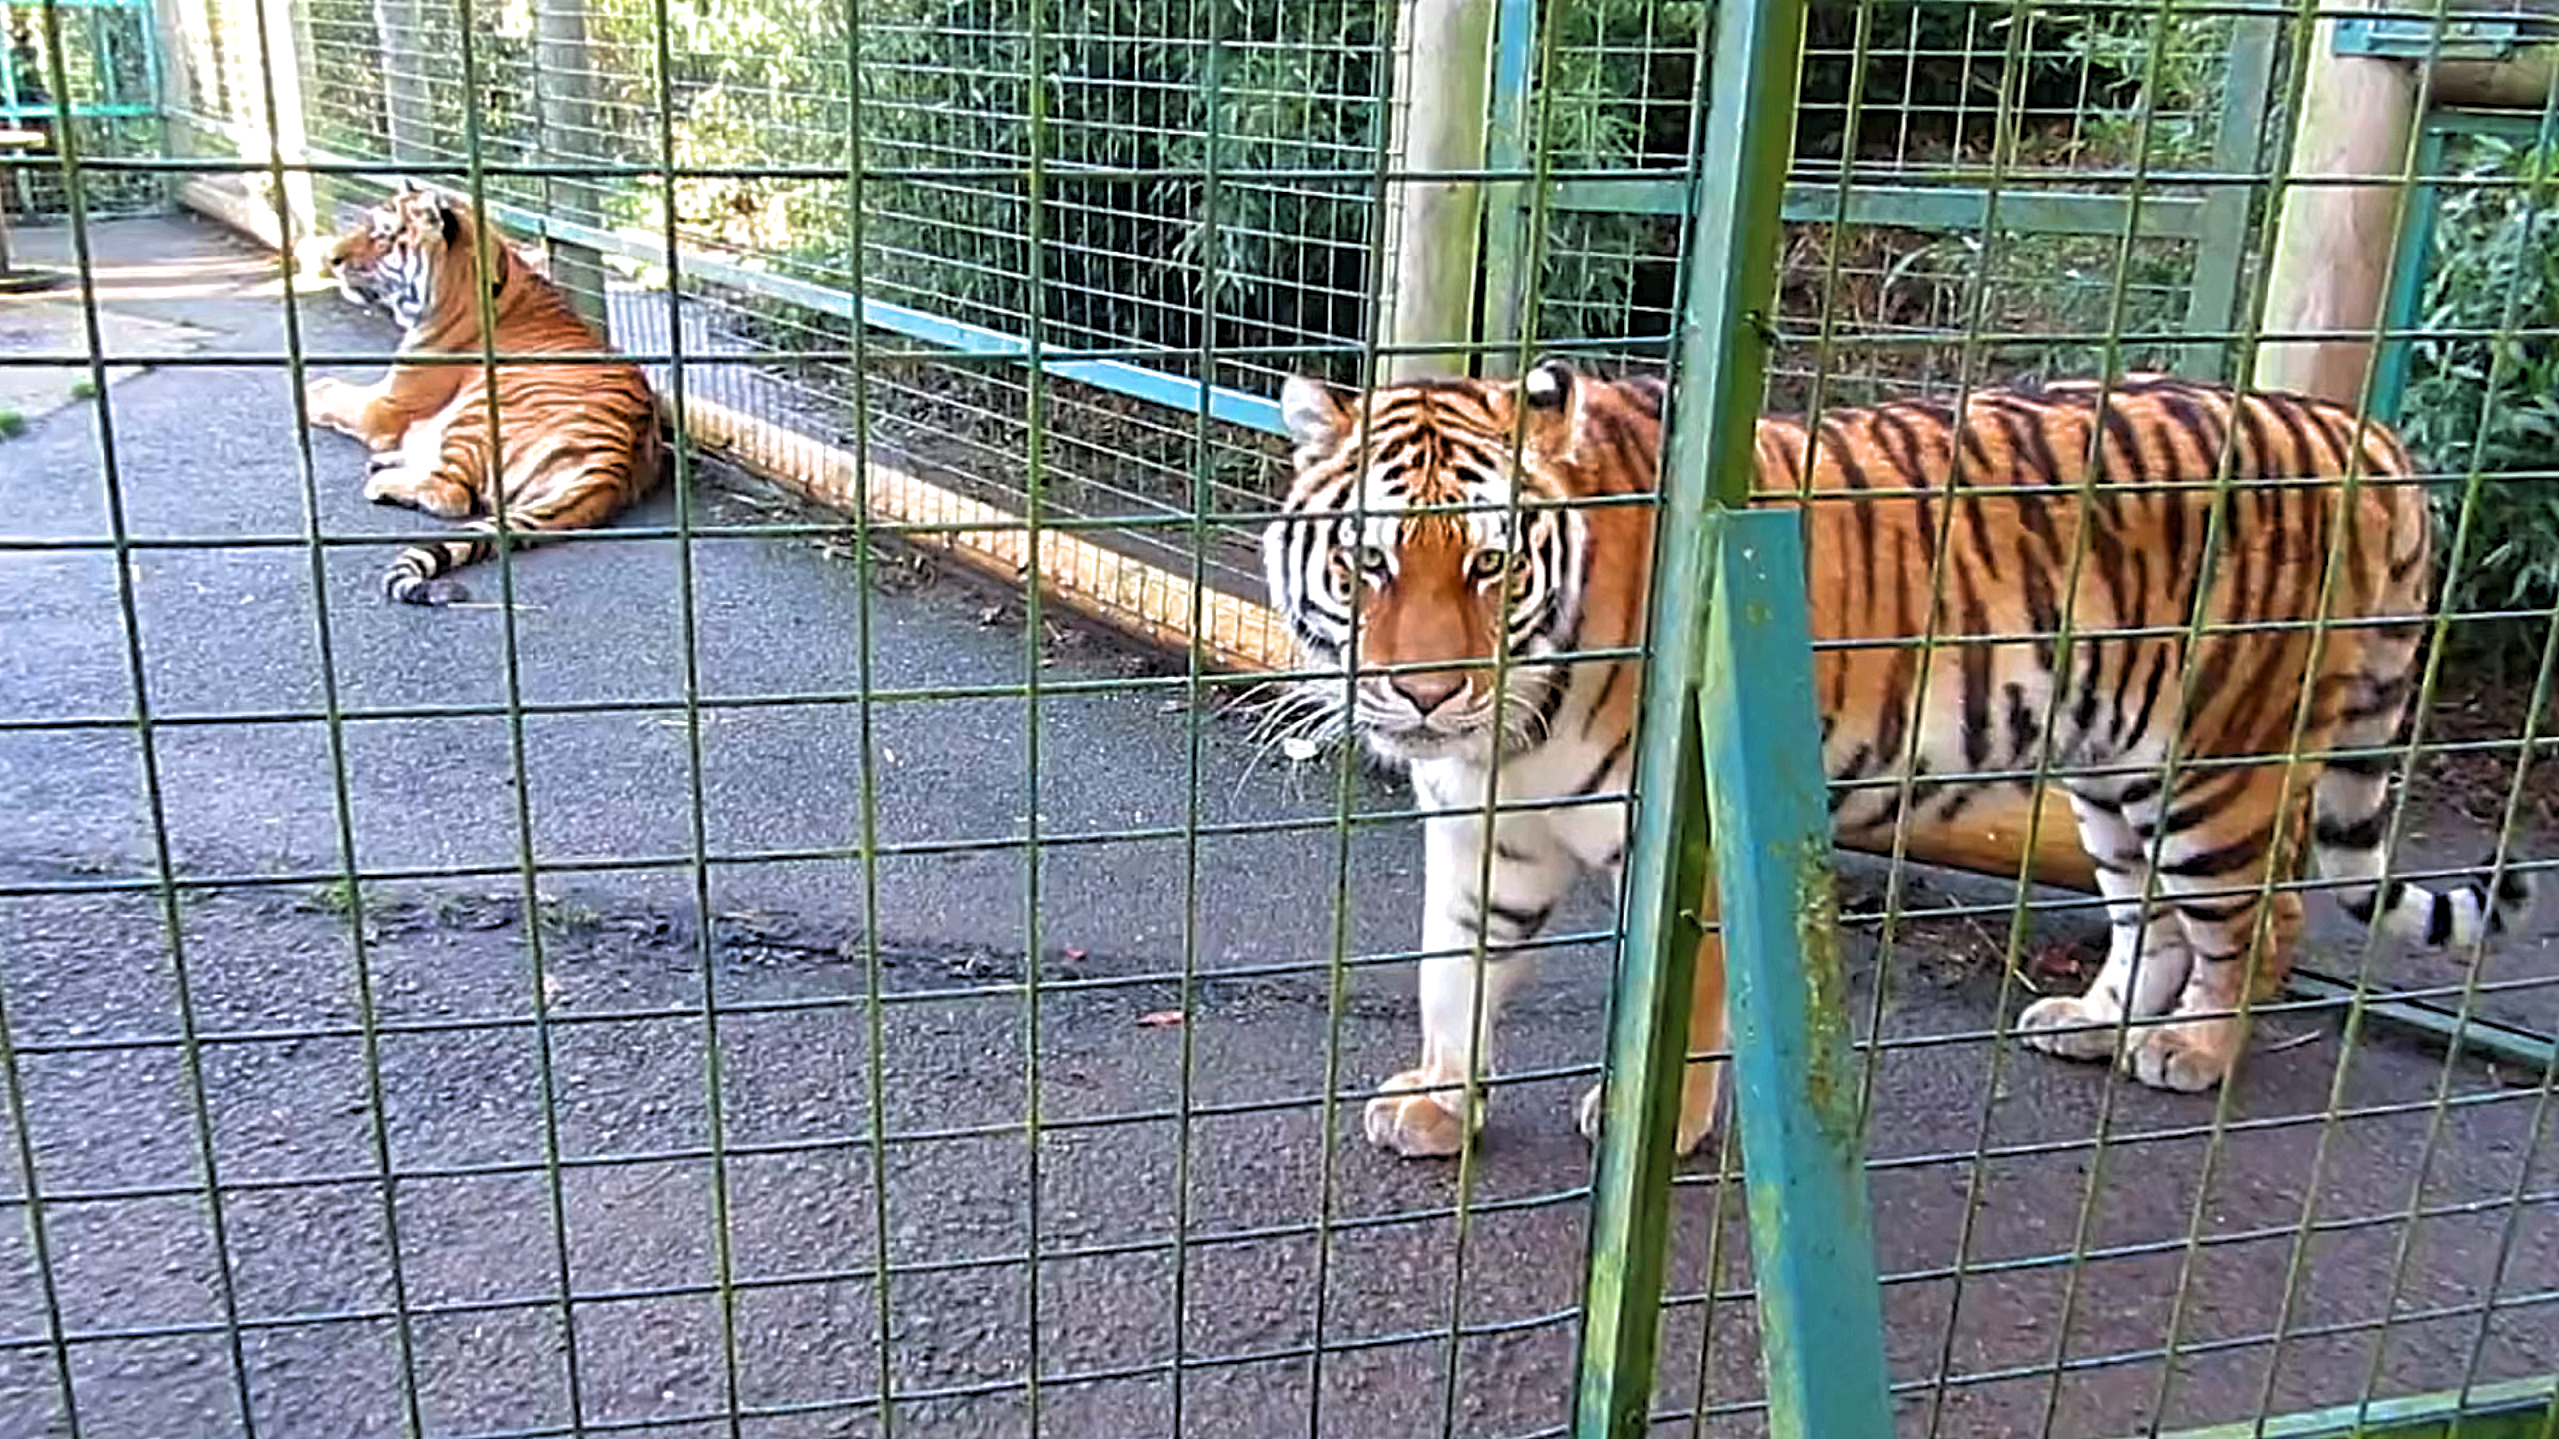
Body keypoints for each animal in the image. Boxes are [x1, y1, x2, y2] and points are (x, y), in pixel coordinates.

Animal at [305, 180, 665, 606]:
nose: (331, 258)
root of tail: (614, 465)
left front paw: (307, 394)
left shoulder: (385, 407)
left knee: (450, 493)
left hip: (477, 414)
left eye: (383, 235)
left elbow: (327, 391)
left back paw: (384, 481)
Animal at [1261, 357, 2538, 1160]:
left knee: (2260, 917)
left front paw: (1655, 1124)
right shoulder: (1487, 832)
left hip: (2221, 765)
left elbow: (1685, 1014)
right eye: (1370, 564)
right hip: (2115, 770)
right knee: (2150, 916)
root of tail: (2358, 429)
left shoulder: (1695, 845)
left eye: (1491, 565)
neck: (1507, 730)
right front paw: (1440, 1104)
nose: (1428, 692)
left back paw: (2192, 1050)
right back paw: (2096, 1022)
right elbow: (1452, 974)